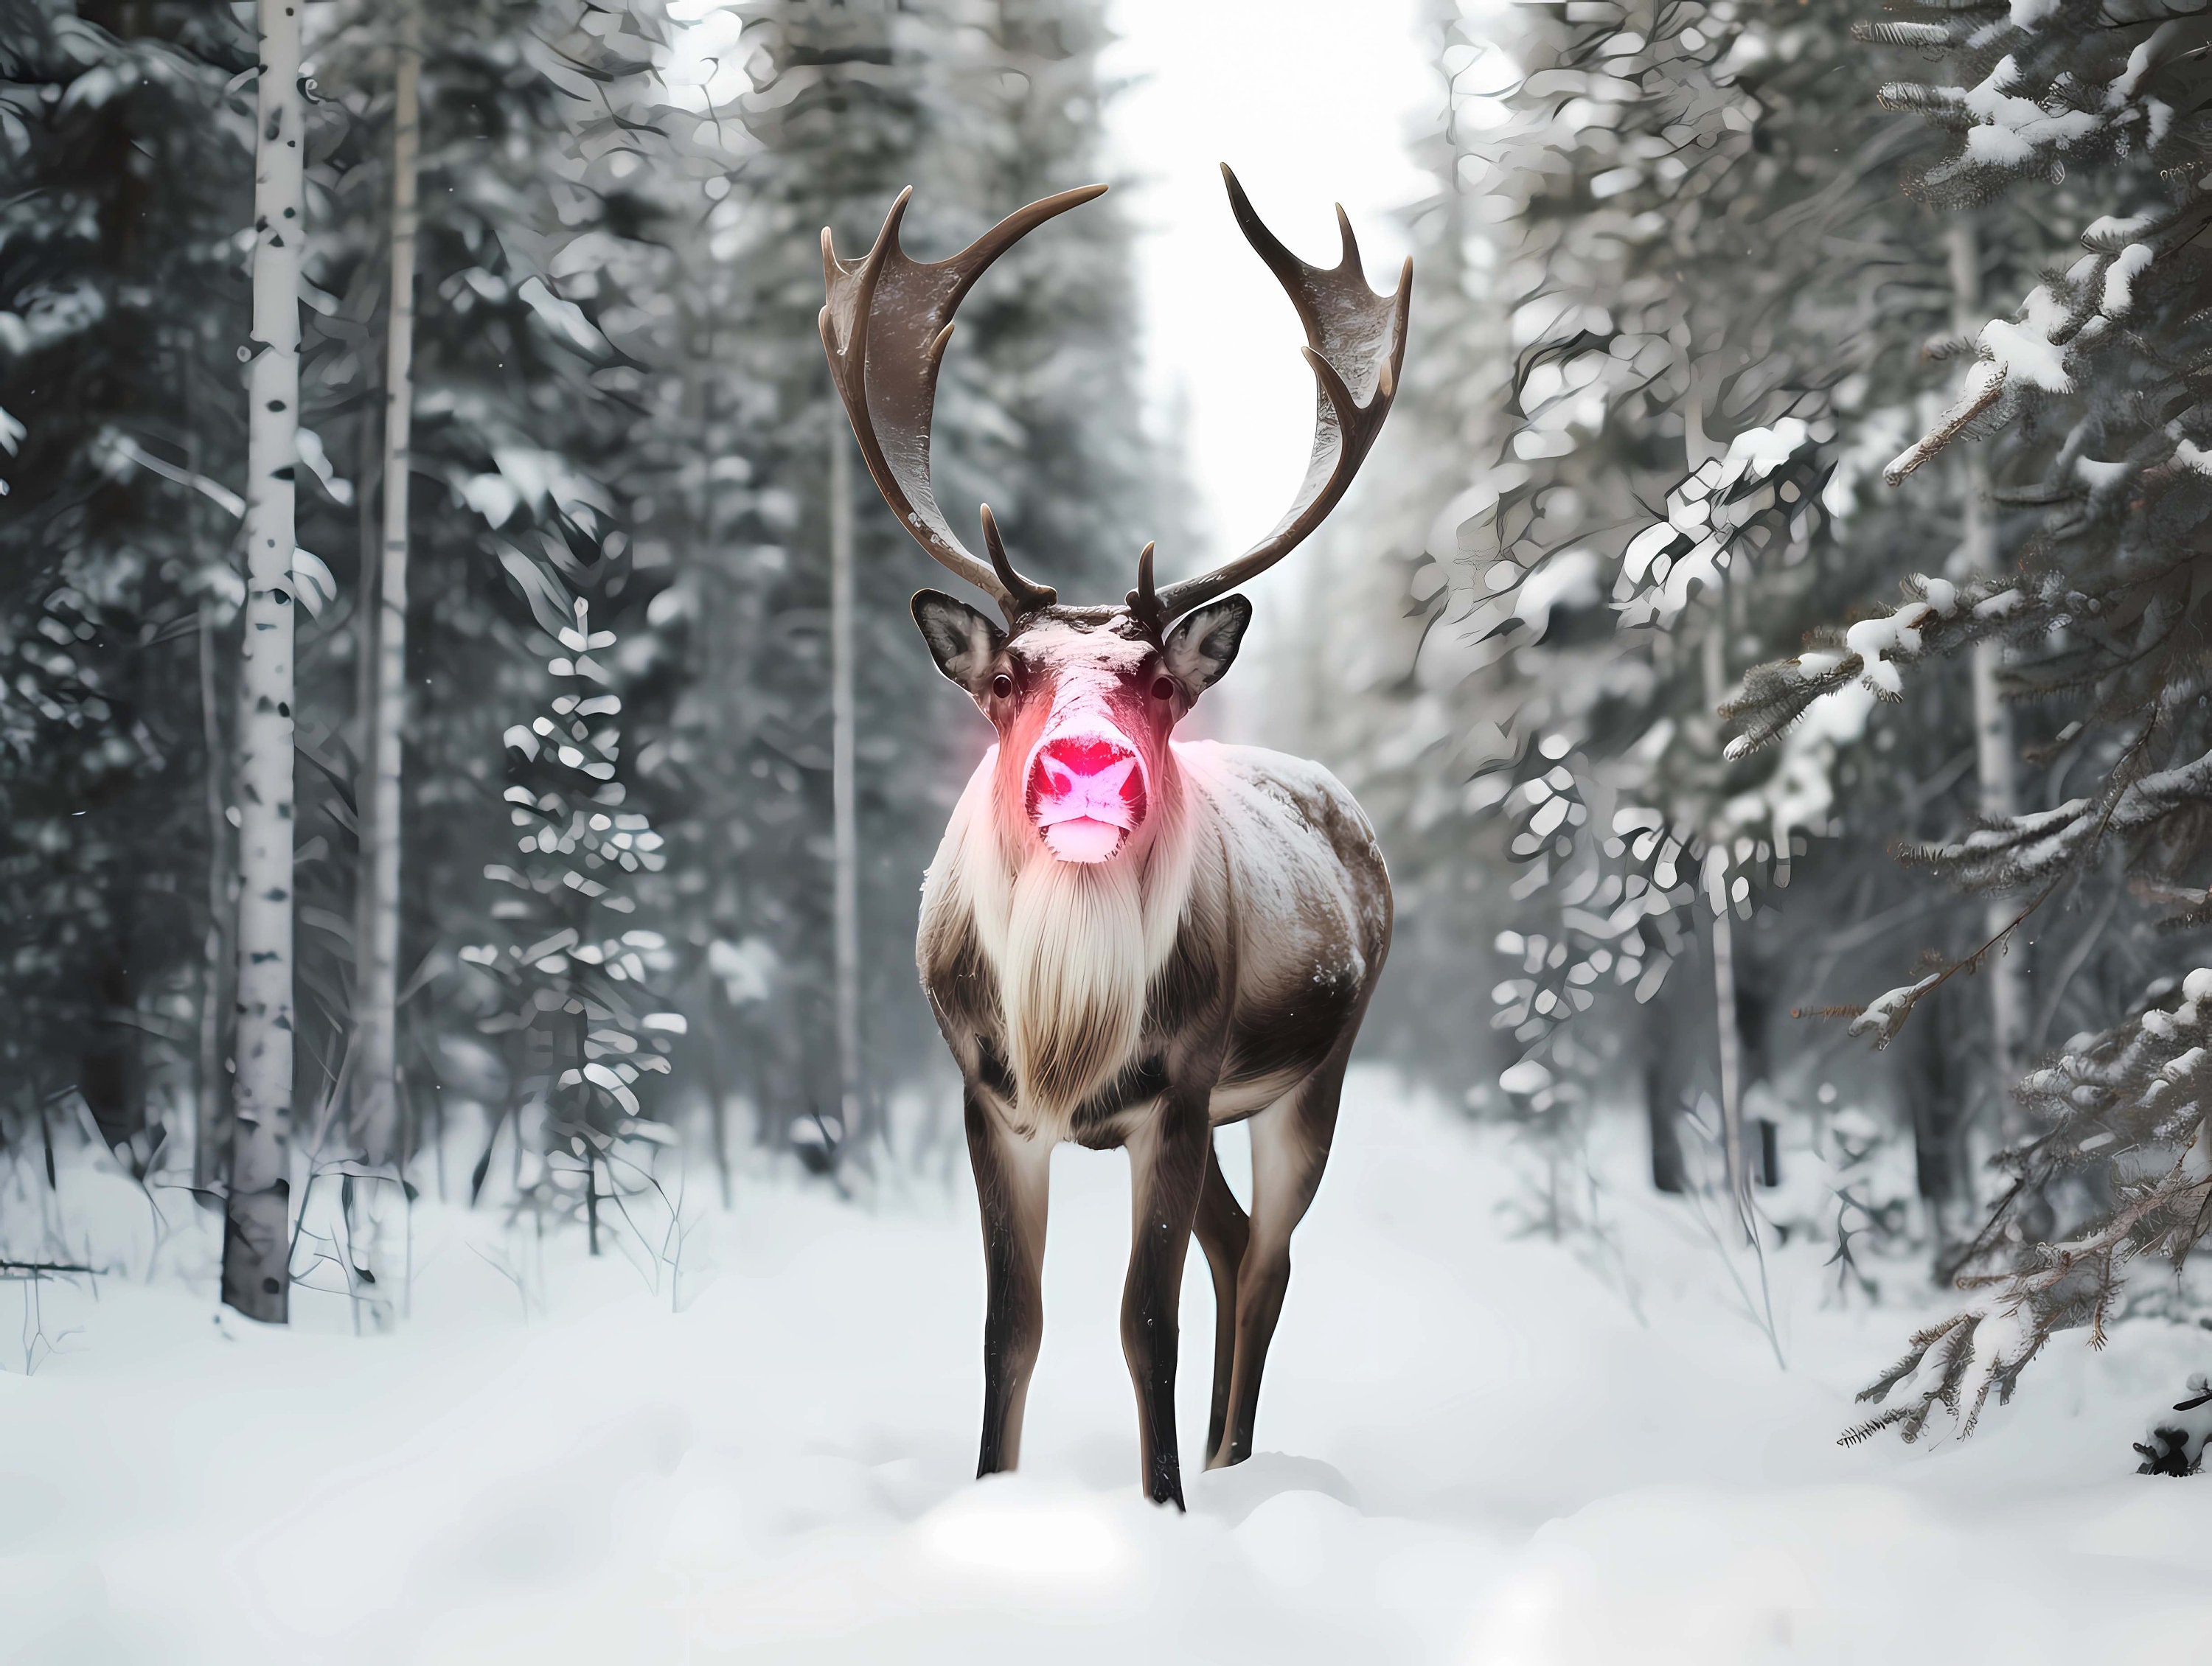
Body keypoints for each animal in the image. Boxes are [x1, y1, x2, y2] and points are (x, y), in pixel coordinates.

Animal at [819, 166, 1409, 1509]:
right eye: (1010, 678)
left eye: (1156, 681)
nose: (1085, 761)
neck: (1065, 1032)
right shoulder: (987, 1098)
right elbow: (1012, 1324)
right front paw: (991, 1493)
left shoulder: (1179, 1092)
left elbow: (1148, 1323)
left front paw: (1166, 1506)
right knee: (1239, 1245)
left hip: (1317, 1071)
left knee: (1267, 1260)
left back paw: (1232, 1463)